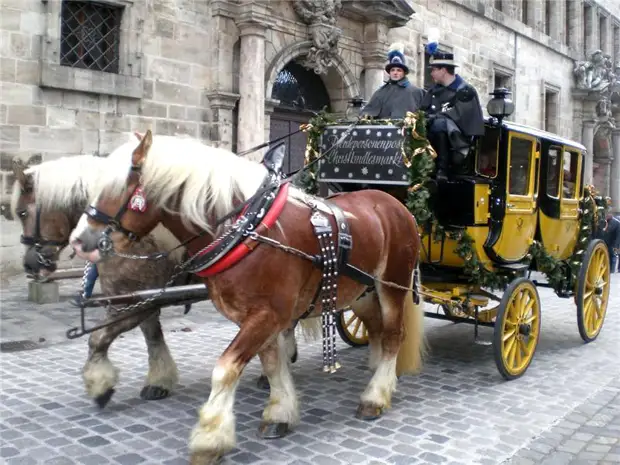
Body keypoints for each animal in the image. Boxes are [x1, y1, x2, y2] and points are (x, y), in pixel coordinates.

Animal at [69, 128, 426, 464]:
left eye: (119, 187)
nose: (79, 241)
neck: (246, 232)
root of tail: (394, 204)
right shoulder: (258, 317)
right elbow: (272, 363)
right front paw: (280, 413)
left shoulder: (265, 315)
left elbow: (225, 368)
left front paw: (209, 438)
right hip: (359, 291)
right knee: (376, 327)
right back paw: (379, 370)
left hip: (392, 283)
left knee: (393, 334)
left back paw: (375, 395)